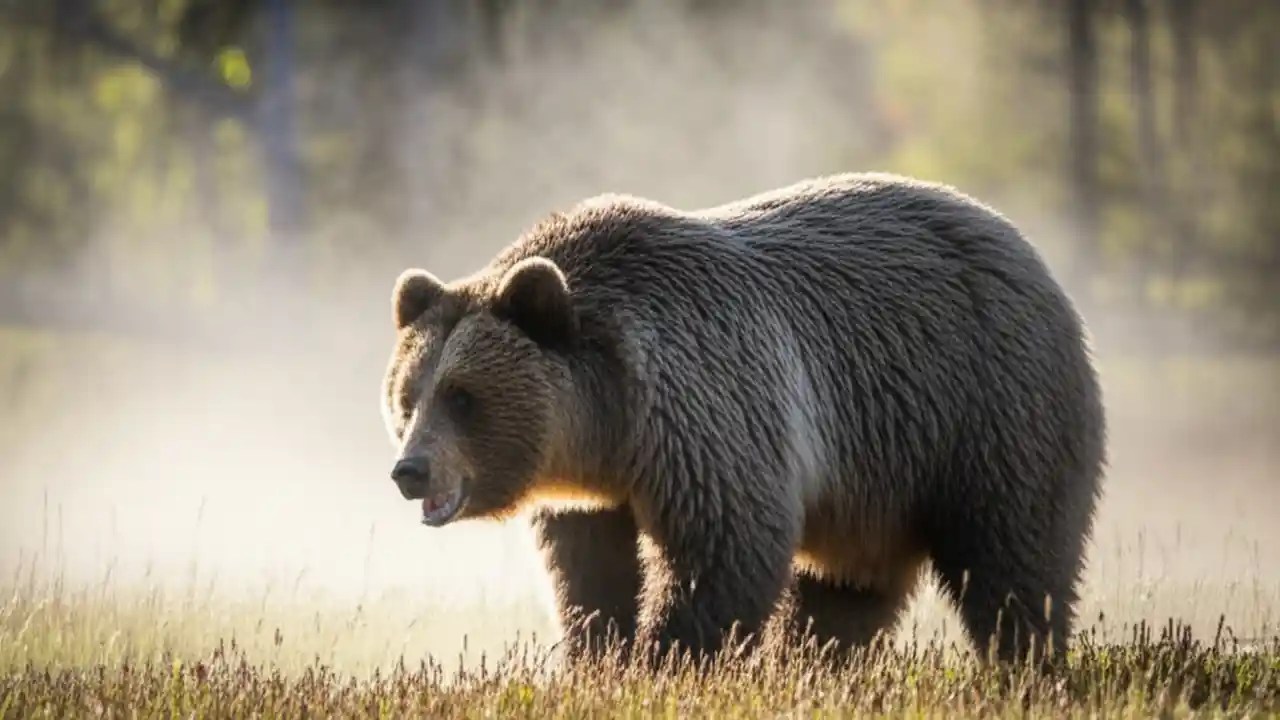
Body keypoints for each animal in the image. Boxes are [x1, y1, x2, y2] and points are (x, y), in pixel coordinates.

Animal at [379, 172, 1106, 667]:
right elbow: (589, 574)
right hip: (876, 490)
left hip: (988, 405)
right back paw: (816, 666)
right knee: (845, 595)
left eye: (463, 396)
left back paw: (1025, 662)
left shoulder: (708, 408)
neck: (608, 425)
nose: (410, 471)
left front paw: (667, 659)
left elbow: (722, 548)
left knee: (1013, 557)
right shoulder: (591, 491)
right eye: (408, 397)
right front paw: (598, 654)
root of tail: (1021, 244)